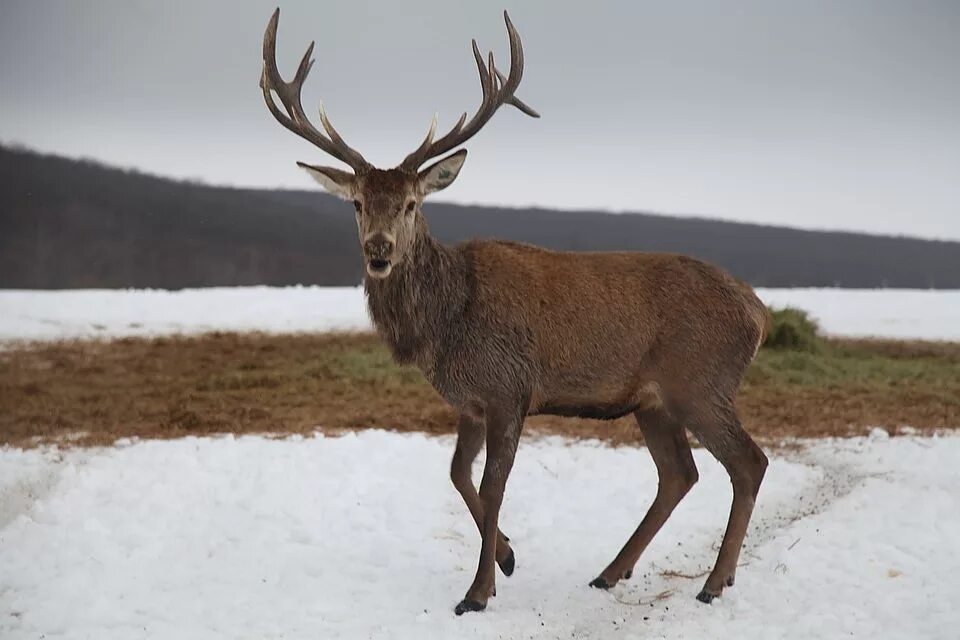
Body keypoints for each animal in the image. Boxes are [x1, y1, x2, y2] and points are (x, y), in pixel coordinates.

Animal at [258, 5, 768, 616]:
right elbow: (458, 475)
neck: (446, 324)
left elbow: (493, 485)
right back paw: (611, 572)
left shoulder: (510, 388)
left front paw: (477, 592)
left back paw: (714, 582)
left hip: (701, 381)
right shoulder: (471, 400)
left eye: (411, 204)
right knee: (679, 474)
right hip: (654, 400)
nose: (379, 250)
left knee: (748, 462)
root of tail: (758, 311)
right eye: (357, 202)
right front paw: (505, 557)